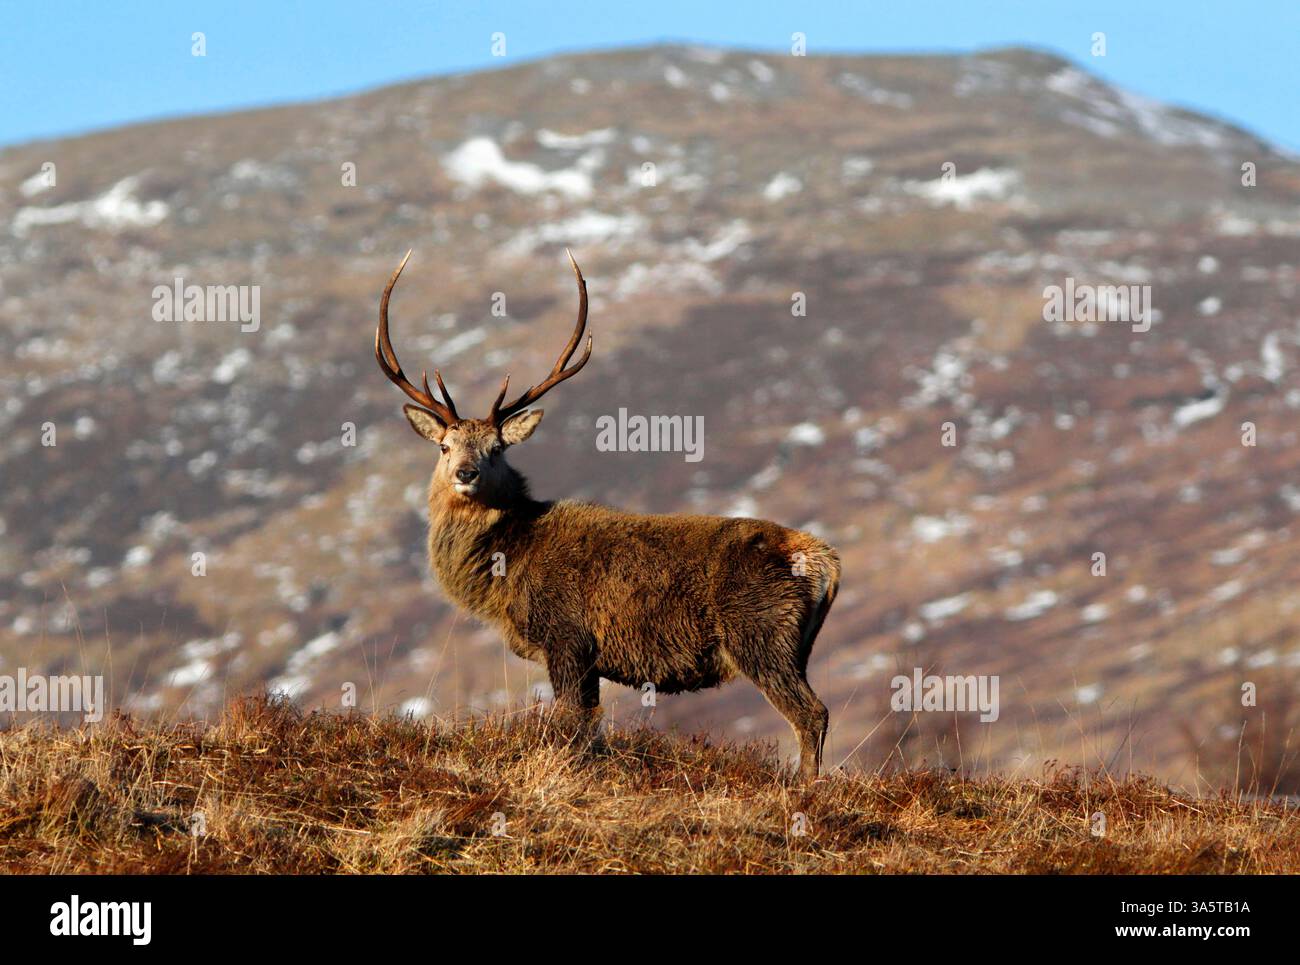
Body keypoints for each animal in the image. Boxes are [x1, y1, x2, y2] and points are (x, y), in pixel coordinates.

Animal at [373, 249, 841, 782]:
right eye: (445, 445)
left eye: (497, 448)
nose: (466, 473)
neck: (504, 570)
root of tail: (824, 562)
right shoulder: (588, 657)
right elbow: (589, 725)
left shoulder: (567, 636)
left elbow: (572, 722)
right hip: (799, 647)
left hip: (761, 635)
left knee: (811, 712)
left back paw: (806, 788)